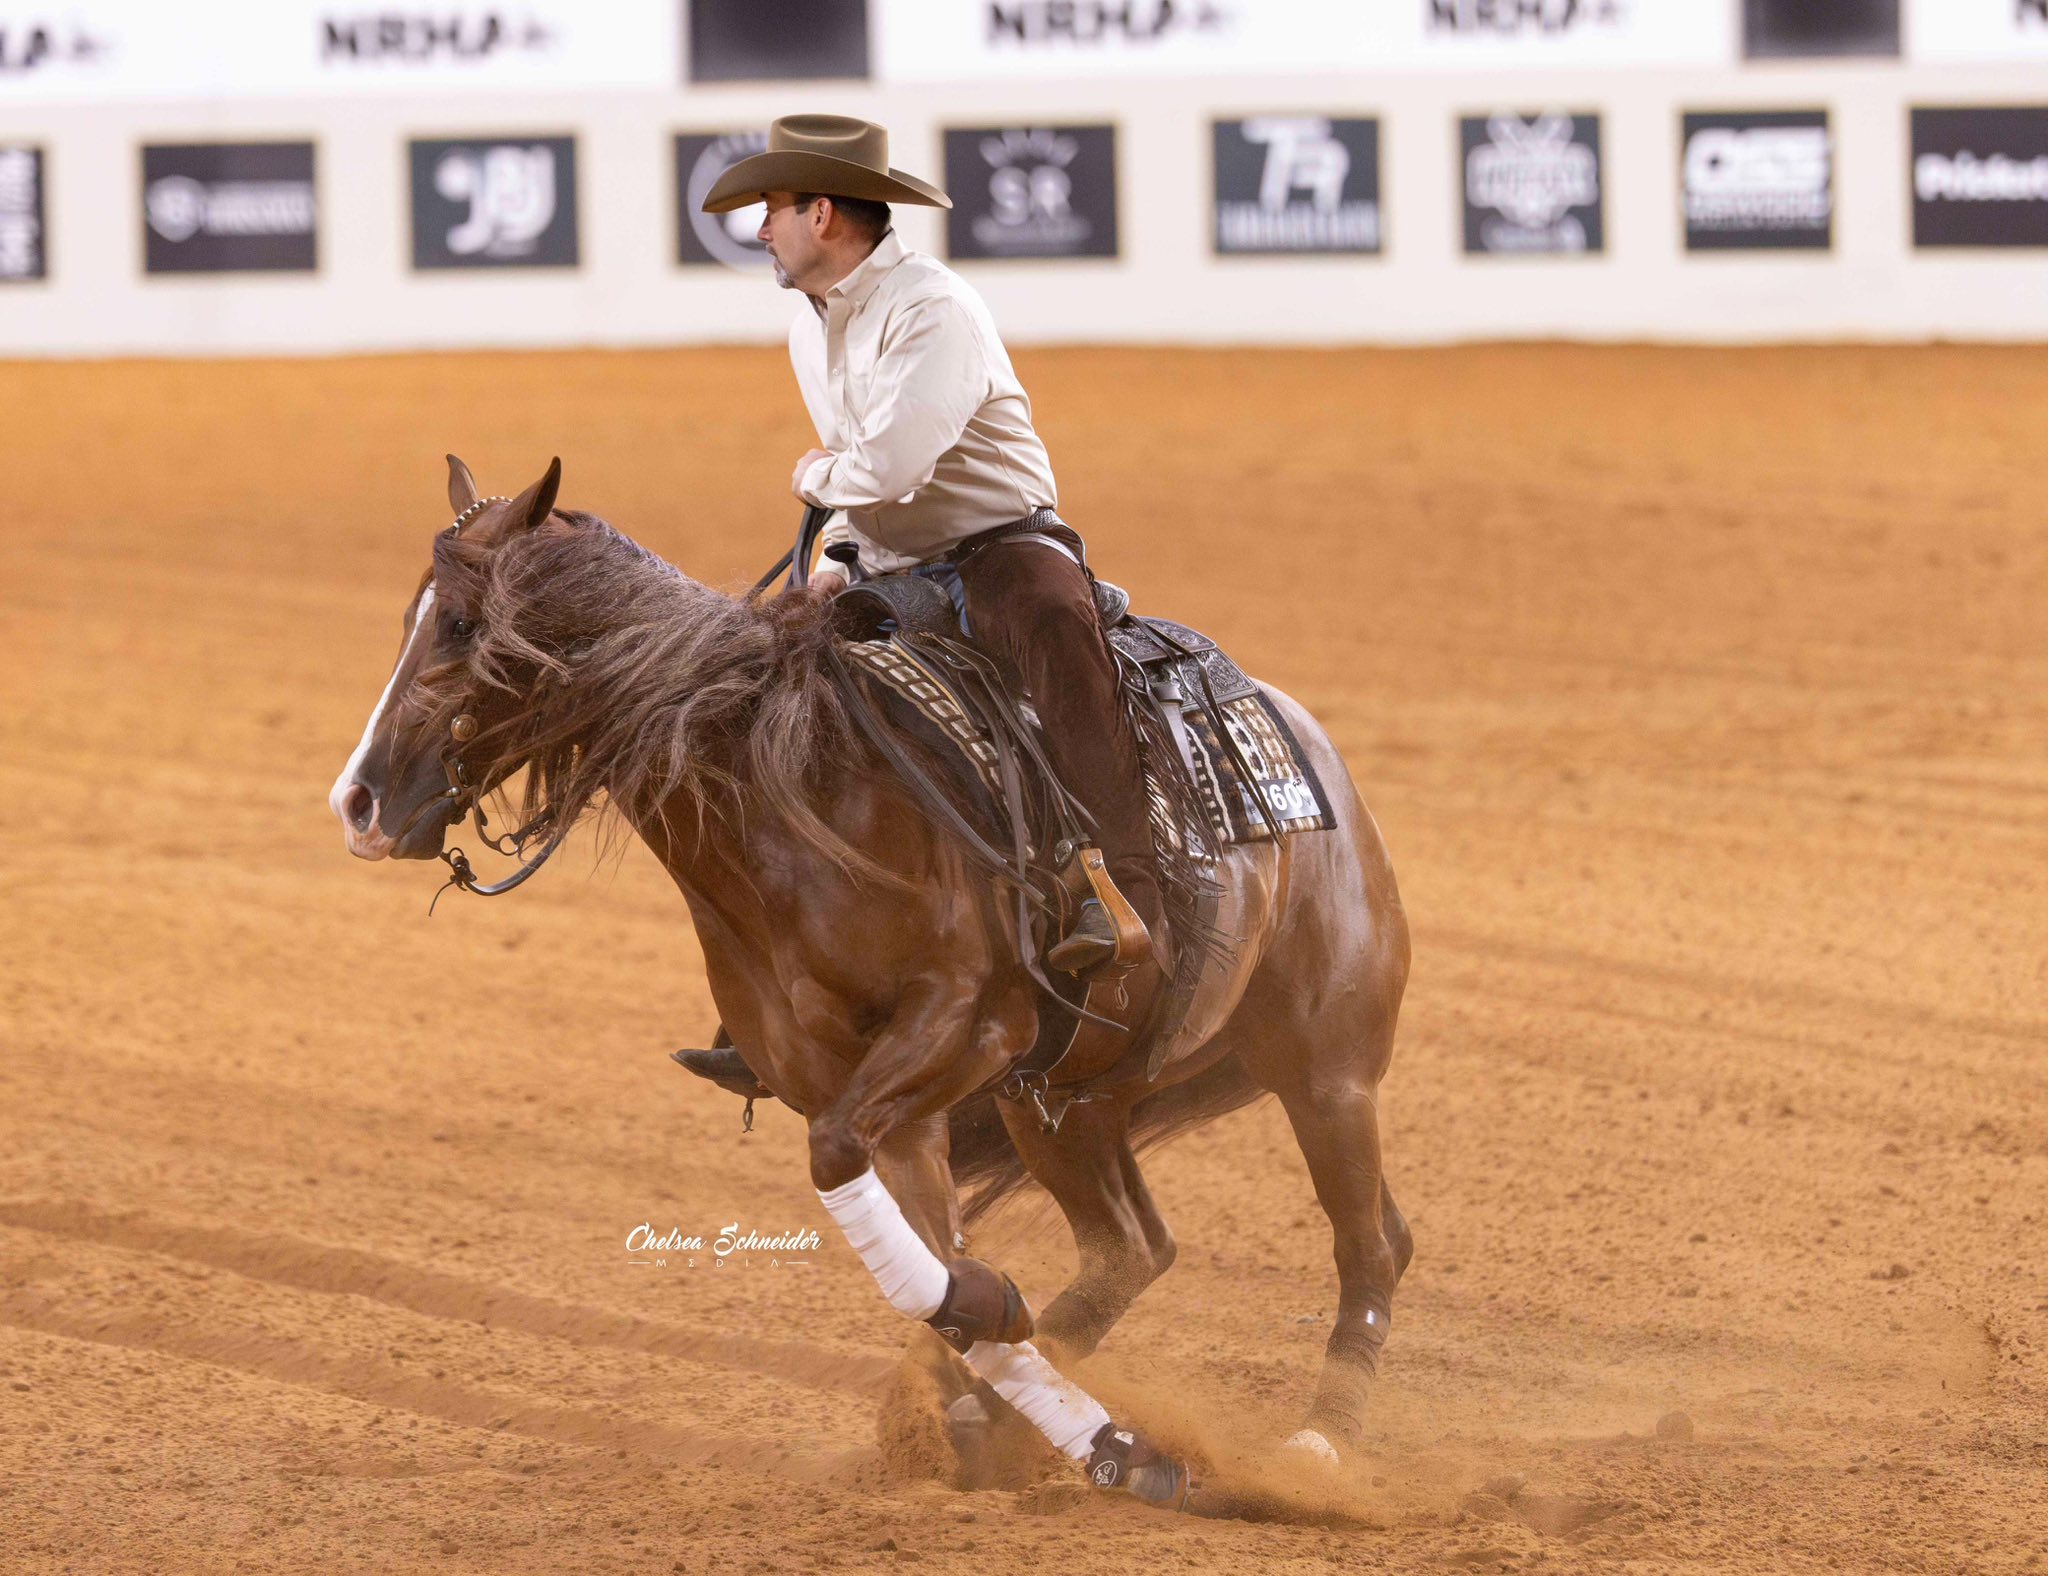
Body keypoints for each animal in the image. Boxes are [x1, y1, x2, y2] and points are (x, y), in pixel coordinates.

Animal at [328, 456, 1413, 1506]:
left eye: (464, 624)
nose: (358, 801)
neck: (790, 795)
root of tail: (1314, 754)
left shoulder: (962, 1025)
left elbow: (851, 1174)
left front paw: (991, 1362)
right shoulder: (869, 1086)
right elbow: (914, 1240)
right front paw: (1036, 1406)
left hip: (1324, 1070)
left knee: (1370, 1244)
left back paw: (1315, 1448)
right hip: (1065, 1098)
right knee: (1132, 1246)